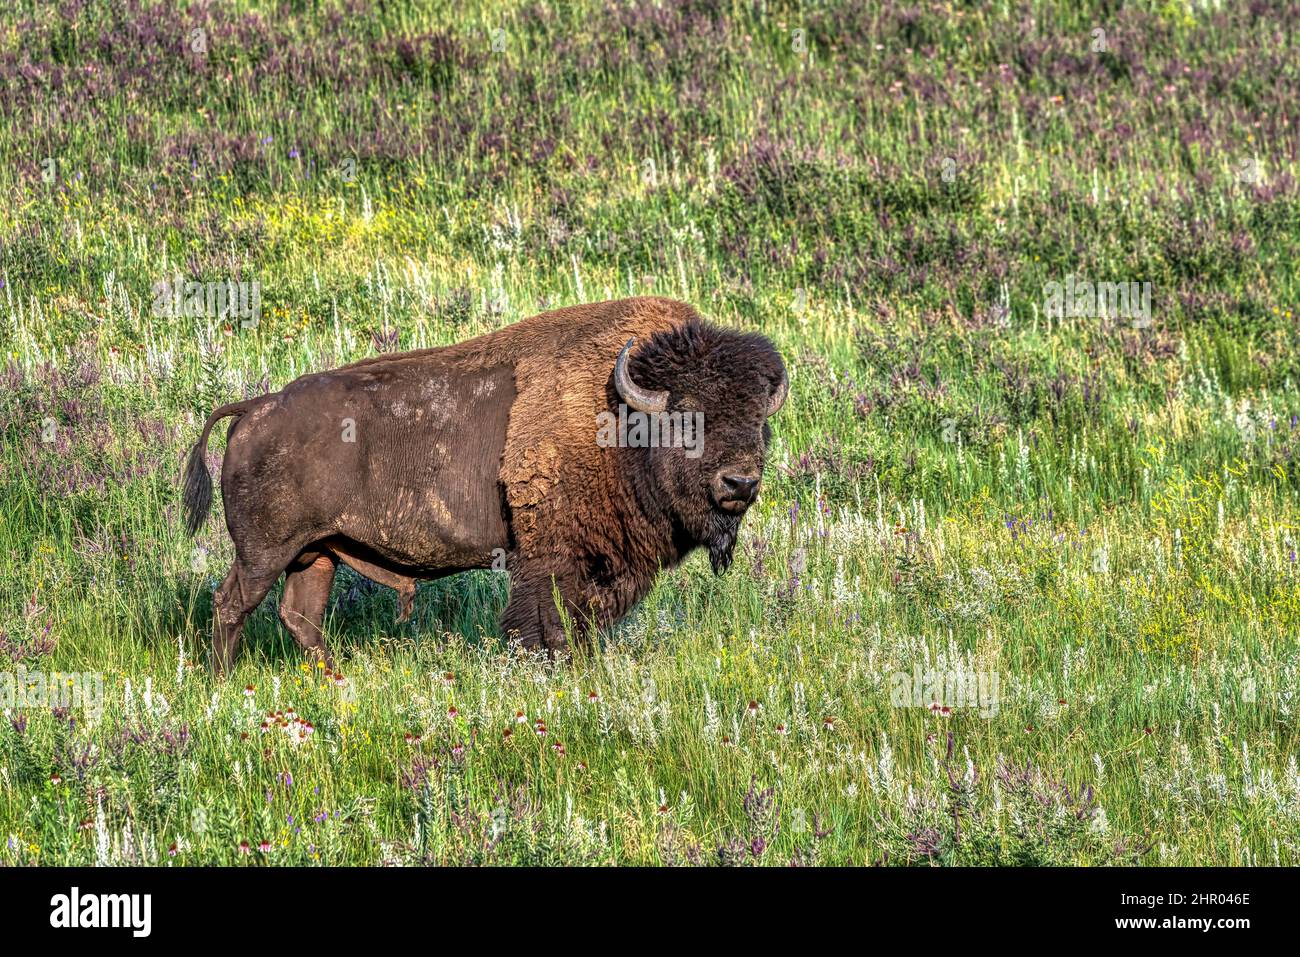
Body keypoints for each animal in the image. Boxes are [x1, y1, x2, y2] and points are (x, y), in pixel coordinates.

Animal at [182, 296, 788, 673]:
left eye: (759, 419)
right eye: (687, 417)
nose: (740, 482)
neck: (618, 420)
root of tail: (254, 408)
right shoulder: (550, 561)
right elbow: (548, 626)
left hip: (316, 552)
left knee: (300, 615)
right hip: (264, 552)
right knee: (232, 604)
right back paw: (223, 681)